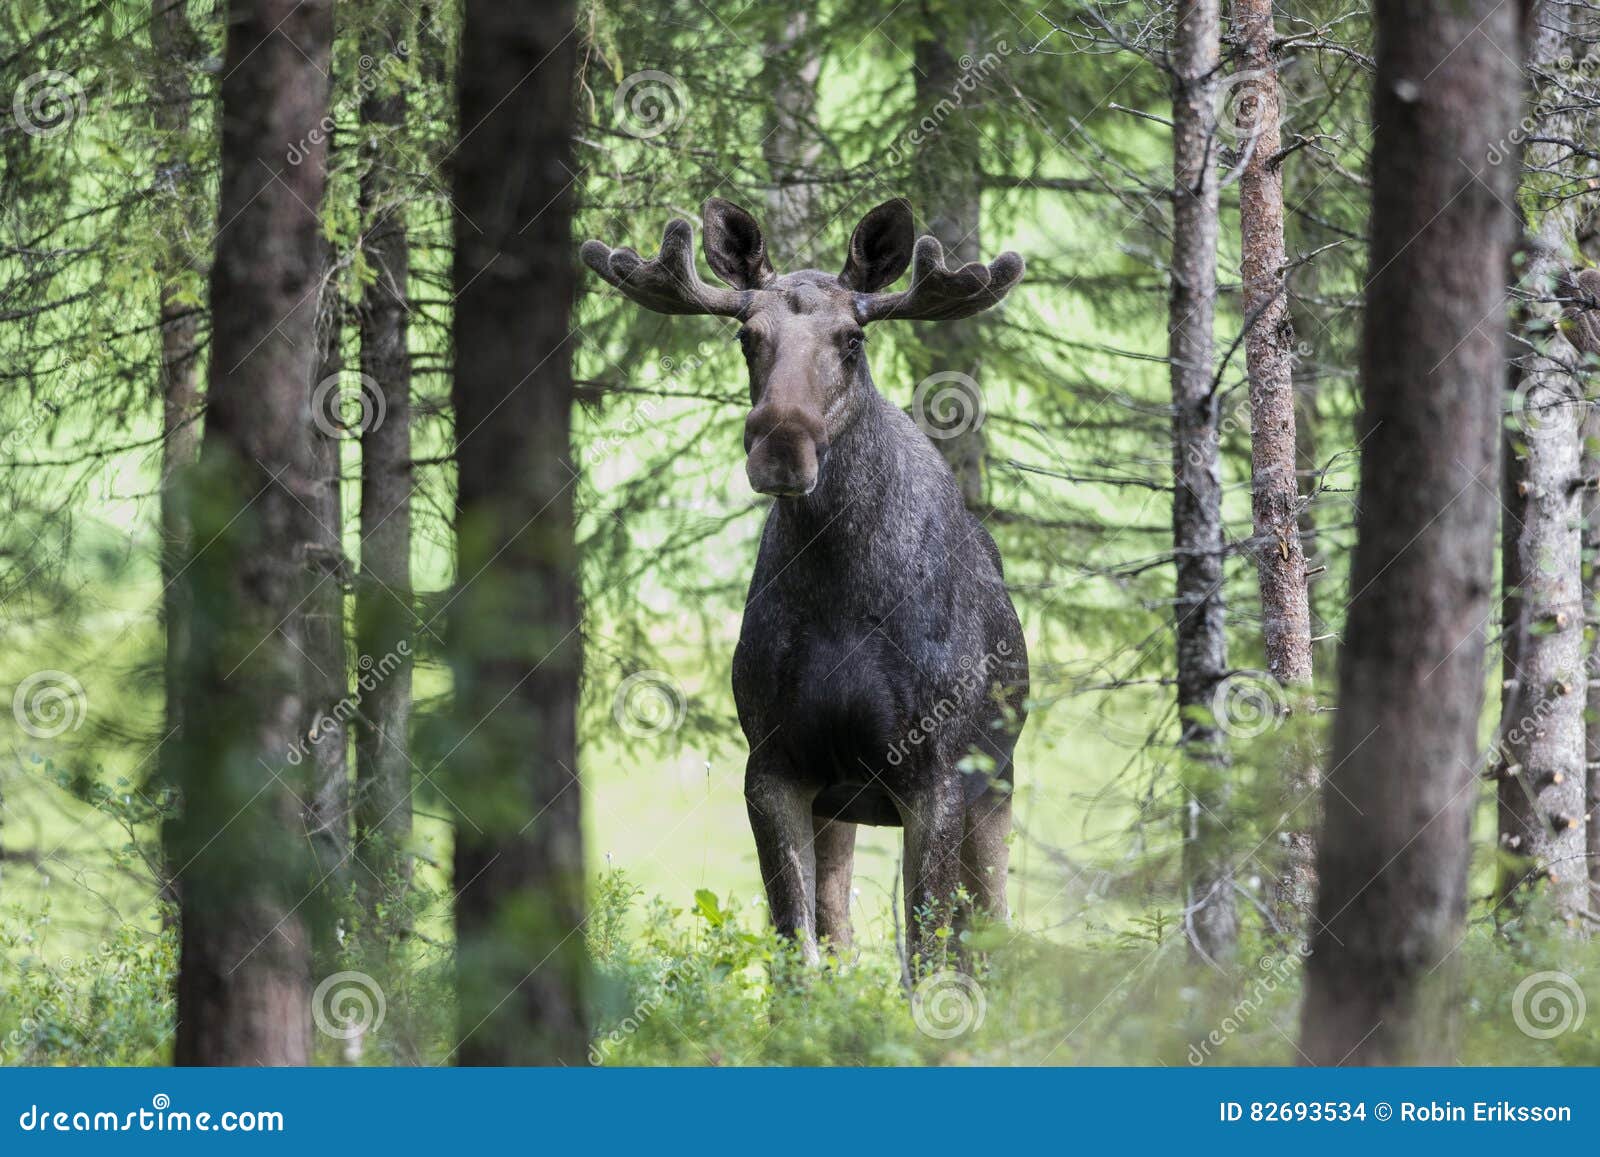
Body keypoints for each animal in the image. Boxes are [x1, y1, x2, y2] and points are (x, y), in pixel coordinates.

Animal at [583, 197, 1028, 969]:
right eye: (747, 336)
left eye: (852, 338)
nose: (781, 445)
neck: (841, 597)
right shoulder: (776, 766)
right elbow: (803, 950)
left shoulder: (936, 773)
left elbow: (928, 955)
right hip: (843, 804)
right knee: (845, 930)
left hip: (996, 782)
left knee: (990, 936)